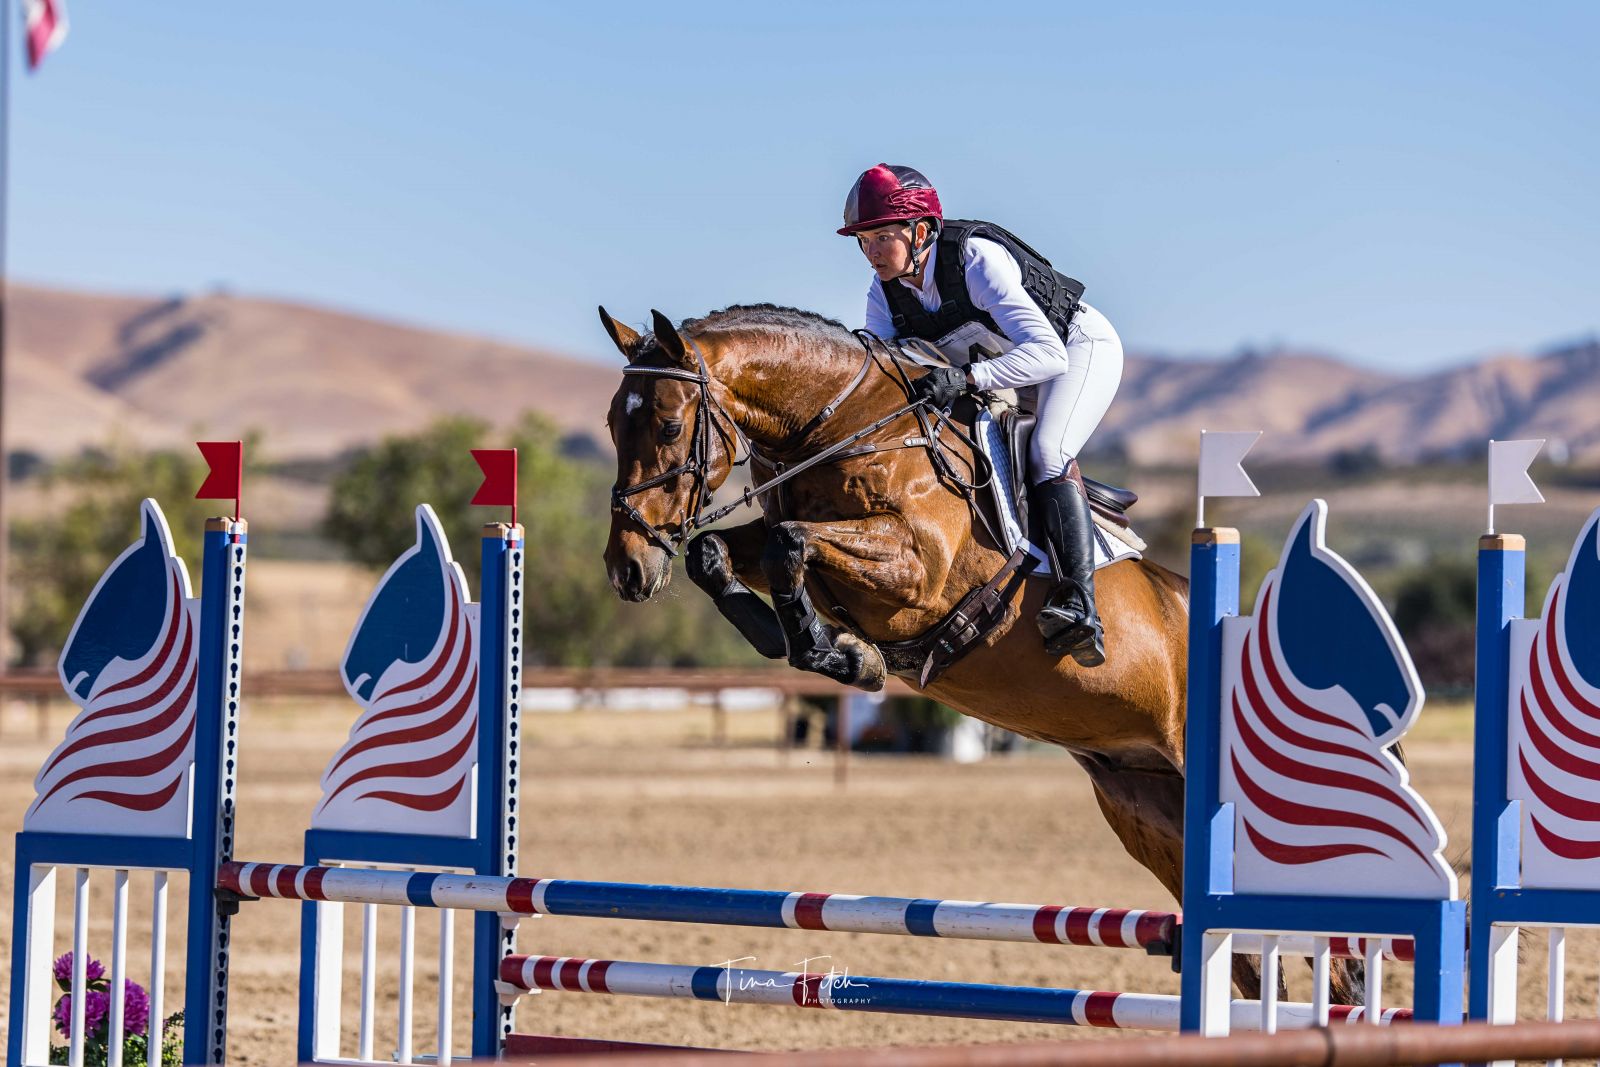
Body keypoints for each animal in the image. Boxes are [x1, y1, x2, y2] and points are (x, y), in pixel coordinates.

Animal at [599, 303, 1354, 1001]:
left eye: (668, 426)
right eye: (612, 423)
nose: (626, 568)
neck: (849, 428)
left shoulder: (916, 572)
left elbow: (790, 542)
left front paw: (838, 651)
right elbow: (716, 550)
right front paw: (818, 644)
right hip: (1149, 807)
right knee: (1253, 964)